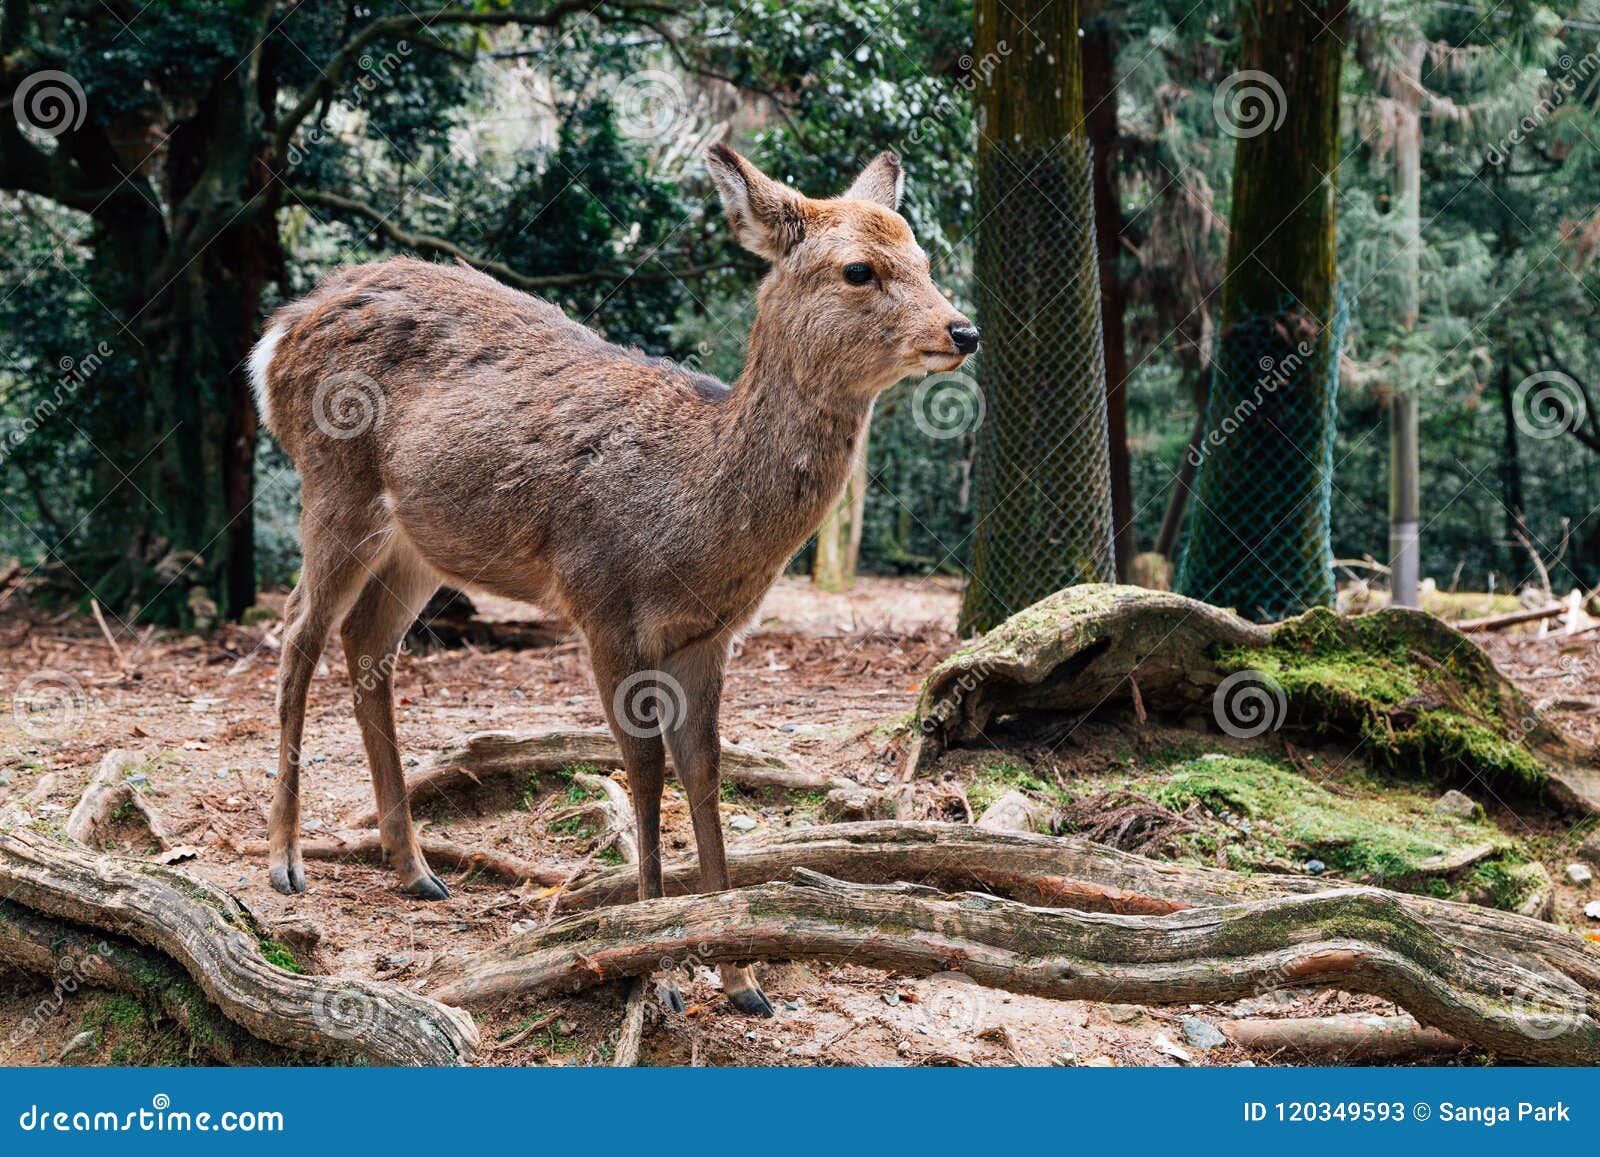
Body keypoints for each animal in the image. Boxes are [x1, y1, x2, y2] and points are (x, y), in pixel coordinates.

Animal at [250, 144, 977, 1017]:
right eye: (859, 269)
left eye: (925, 258)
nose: (963, 329)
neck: (697, 506)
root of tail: (277, 336)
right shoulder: (601, 602)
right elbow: (643, 767)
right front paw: (652, 966)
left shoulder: (709, 634)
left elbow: (705, 770)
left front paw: (742, 977)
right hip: (334, 483)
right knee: (298, 632)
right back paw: (285, 861)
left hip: (418, 541)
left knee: (367, 644)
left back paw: (416, 869)